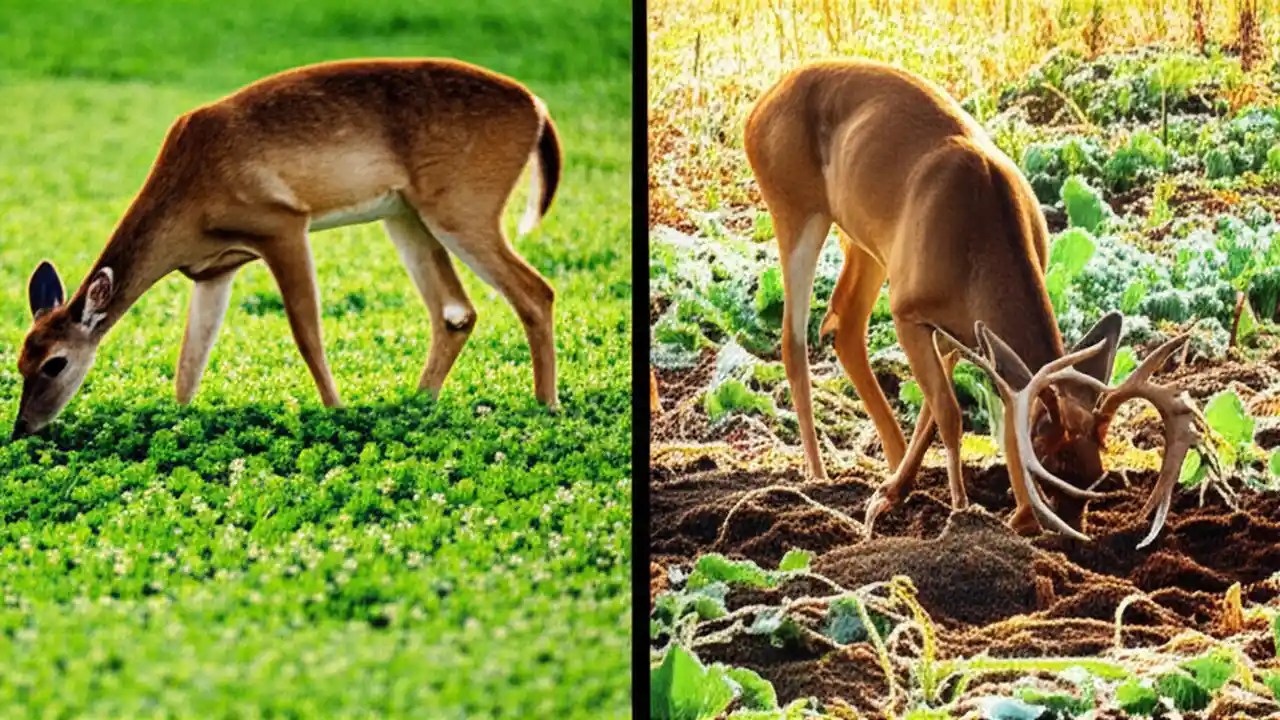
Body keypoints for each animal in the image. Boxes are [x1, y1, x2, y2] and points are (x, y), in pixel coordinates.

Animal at [13, 58, 562, 440]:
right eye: (19, 361)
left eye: (55, 363)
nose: (21, 429)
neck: (189, 193)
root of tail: (538, 108)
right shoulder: (213, 270)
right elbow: (190, 360)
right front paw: (178, 421)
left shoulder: (281, 224)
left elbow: (306, 334)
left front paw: (337, 412)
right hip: (406, 214)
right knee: (455, 311)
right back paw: (416, 402)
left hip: (464, 206)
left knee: (535, 291)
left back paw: (546, 405)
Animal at [743, 60, 1209, 548]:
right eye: (1051, 469)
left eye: (1095, 476)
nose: (1070, 539)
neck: (978, 244)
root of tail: (760, 105)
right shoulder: (908, 310)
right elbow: (950, 414)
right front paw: (961, 510)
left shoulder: (963, 328)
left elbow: (956, 412)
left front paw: (896, 493)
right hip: (793, 208)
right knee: (793, 341)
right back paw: (817, 476)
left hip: (865, 241)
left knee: (844, 325)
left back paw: (885, 460)